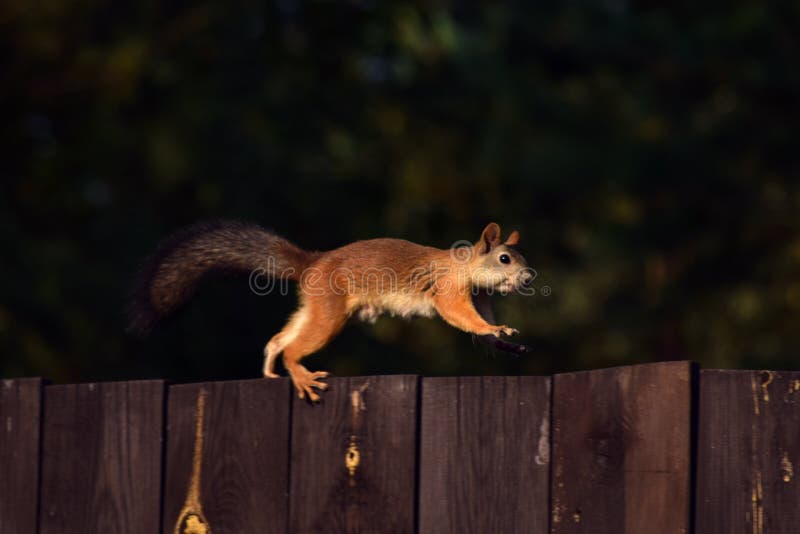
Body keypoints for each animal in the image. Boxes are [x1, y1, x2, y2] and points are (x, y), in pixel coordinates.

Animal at [129, 221, 534, 401]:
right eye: (504, 258)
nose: (529, 276)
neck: (466, 267)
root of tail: (312, 264)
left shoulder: (482, 298)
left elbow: (479, 326)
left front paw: (503, 340)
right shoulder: (449, 290)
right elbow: (459, 315)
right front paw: (495, 331)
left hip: (316, 308)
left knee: (280, 337)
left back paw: (271, 366)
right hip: (330, 313)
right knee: (295, 347)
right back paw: (301, 375)